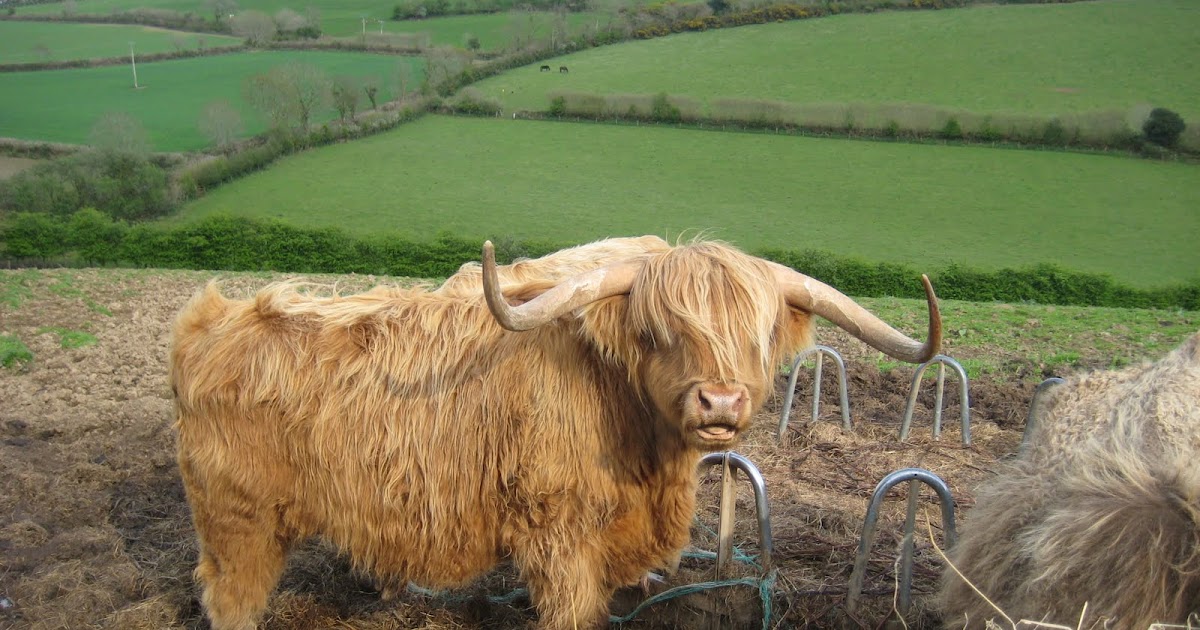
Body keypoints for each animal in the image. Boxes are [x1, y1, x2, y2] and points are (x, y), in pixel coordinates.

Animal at [171, 237, 942, 630]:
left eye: (755, 335)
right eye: (658, 332)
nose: (720, 400)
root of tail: (213, 320)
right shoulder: (557, 536)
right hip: (238, 524)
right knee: (230, 598)